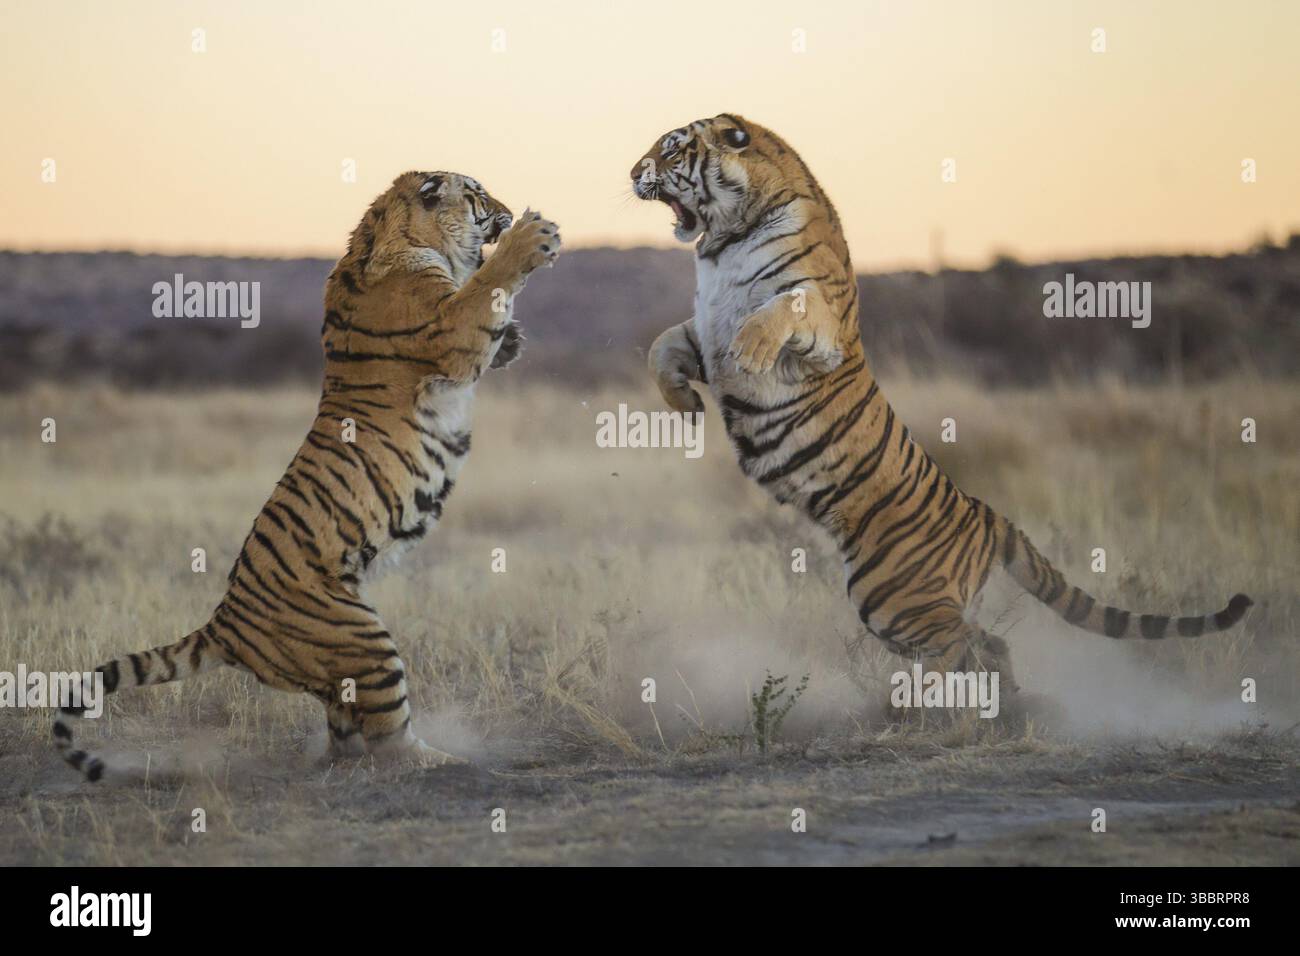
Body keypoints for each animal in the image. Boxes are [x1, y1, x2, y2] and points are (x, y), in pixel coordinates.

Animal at [54, 171, 561, 780]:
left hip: (340, 662)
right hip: (365, 641)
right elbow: (484, 286)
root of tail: (223, 623)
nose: (507, 212)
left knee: (345, 737)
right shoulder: (450, 330)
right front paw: (532, 238)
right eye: (480, 194)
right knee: (388, 741)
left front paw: (515, 337)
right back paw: (448, 762)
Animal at [632, 113, 1251, 702]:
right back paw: (999, 707)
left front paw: (752, 349)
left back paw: (919, 710)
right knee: (988, 643)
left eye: (672, 148)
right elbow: (661, 346)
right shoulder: (704, 329)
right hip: (898, 605)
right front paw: (685, 406)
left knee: (961, 643)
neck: (725, 241)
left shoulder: (821, 327)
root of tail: (986, 514)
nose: (632, 171)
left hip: (890, 595)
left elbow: (785, 308)